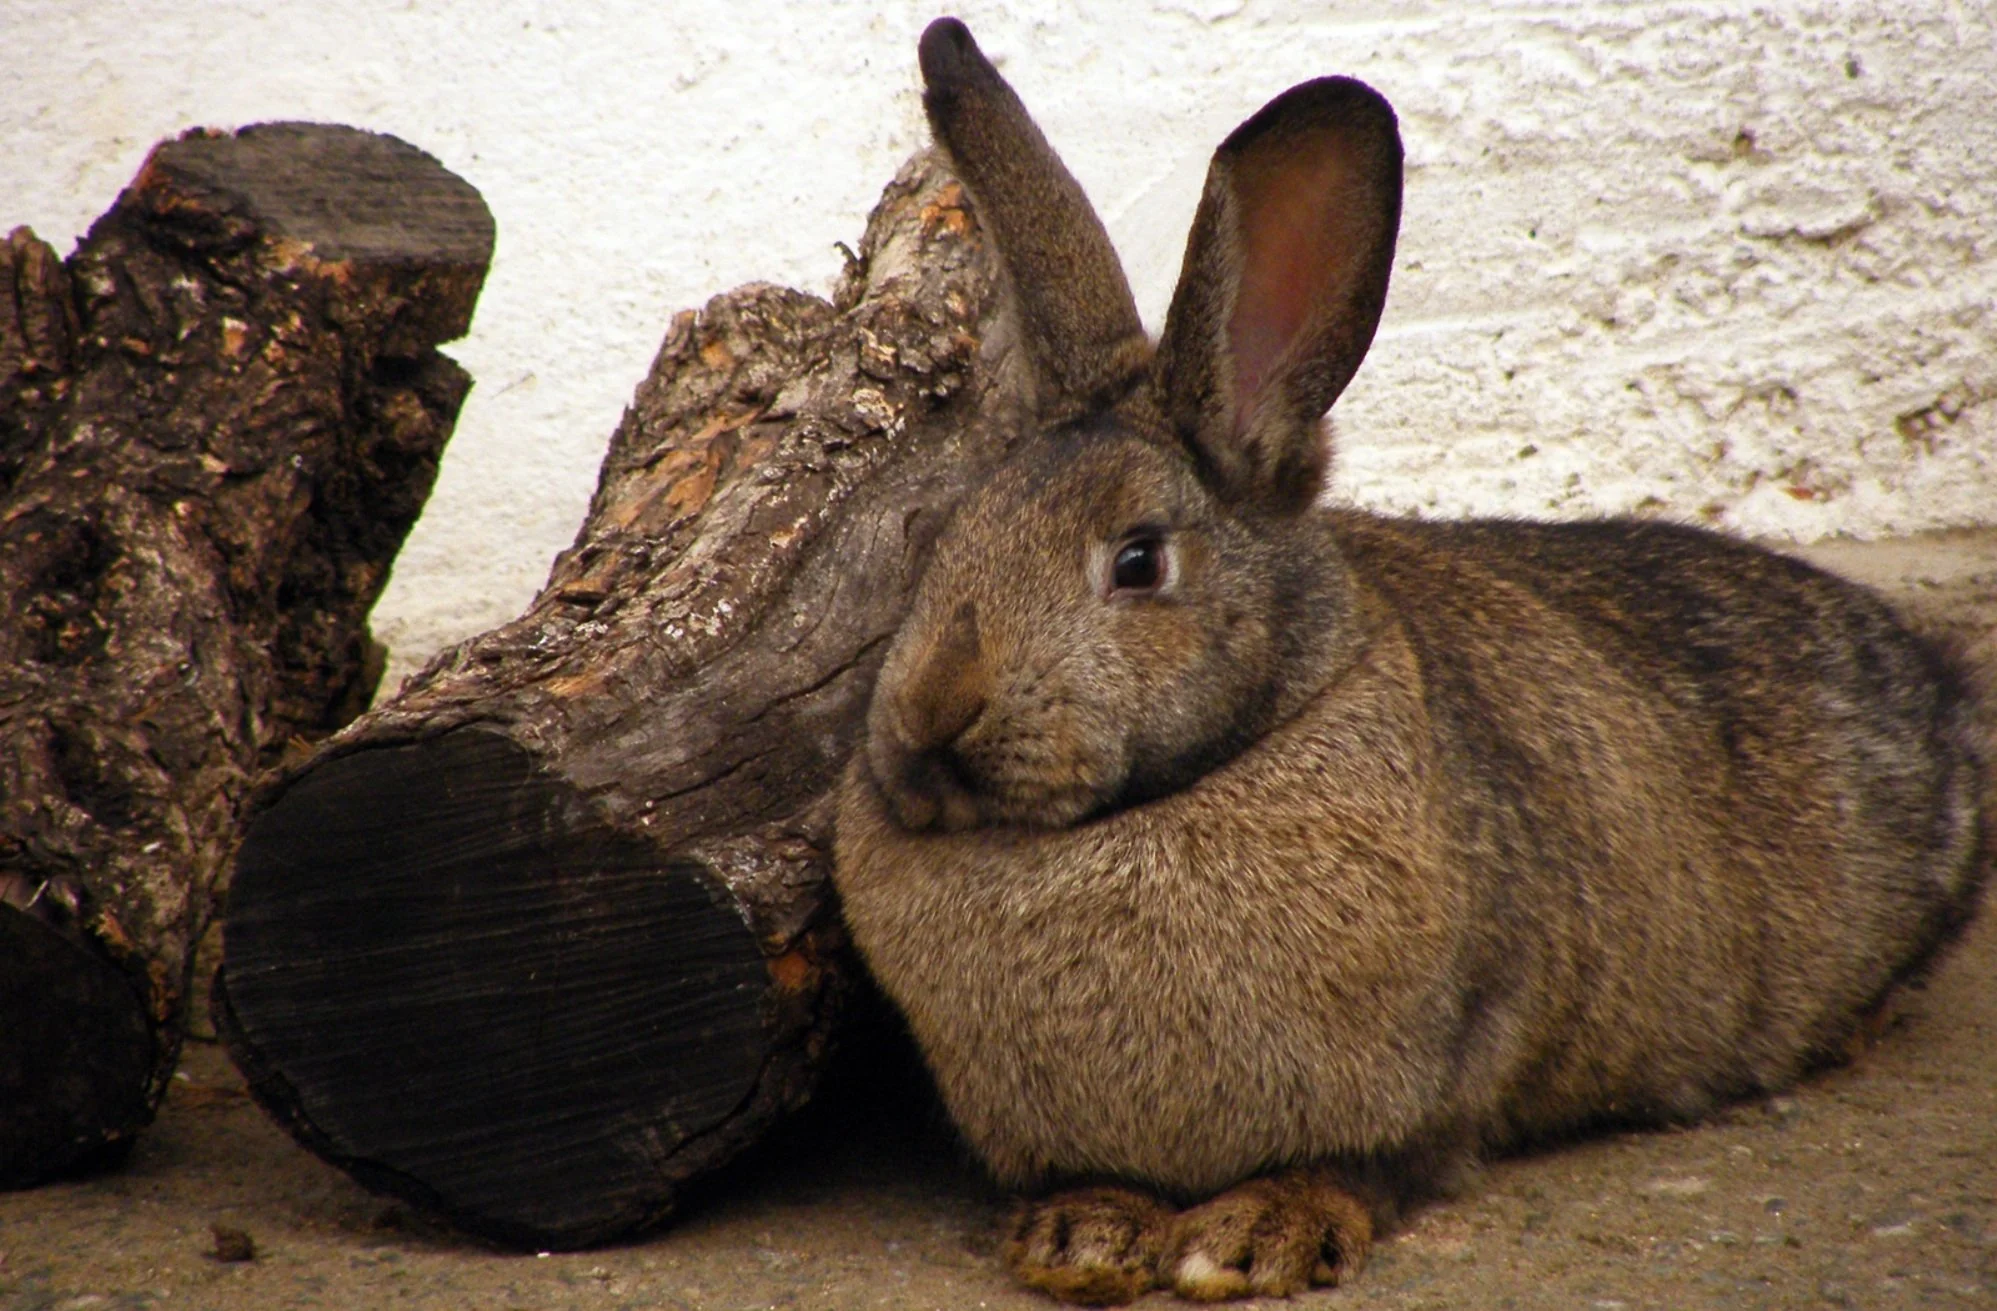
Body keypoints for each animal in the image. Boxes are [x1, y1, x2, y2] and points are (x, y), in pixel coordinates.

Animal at [832, 16, 1991, 1305]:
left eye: (1136, 562)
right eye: (941, 535)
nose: (929, 720)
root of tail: (1938, 691)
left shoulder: (1445, 1067)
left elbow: (1364, 1168)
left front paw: (1252, 1240)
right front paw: (1080, 1238)